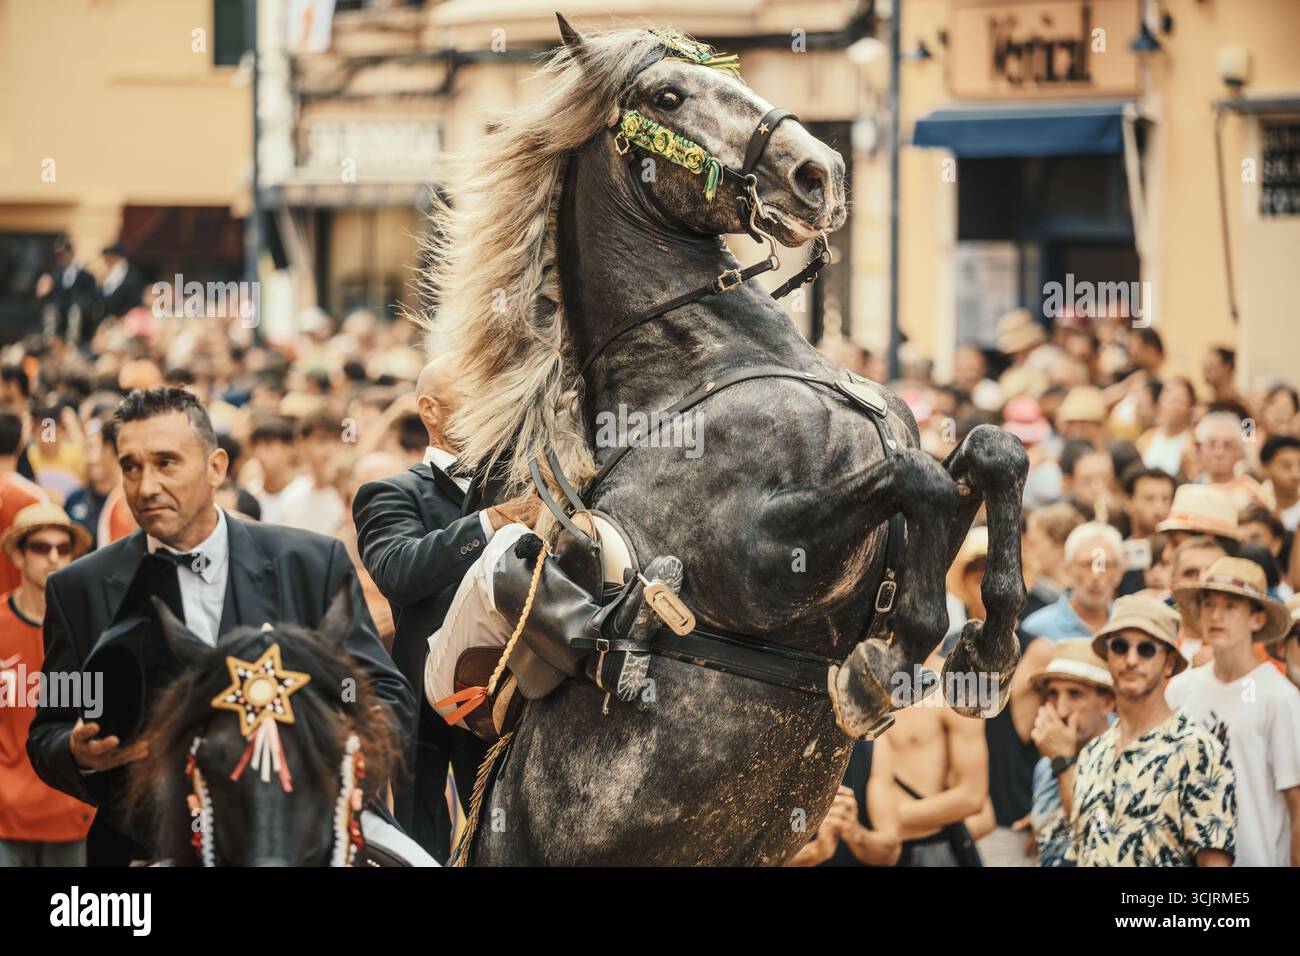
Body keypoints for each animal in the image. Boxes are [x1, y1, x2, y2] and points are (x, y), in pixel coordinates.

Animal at [424, 18, 1029, 865]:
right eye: (667, 96)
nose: (819, 173)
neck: (703, 365)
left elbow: (990, 454)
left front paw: (988, 652)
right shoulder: (764, 556)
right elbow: (919, 479)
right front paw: (885, 664)